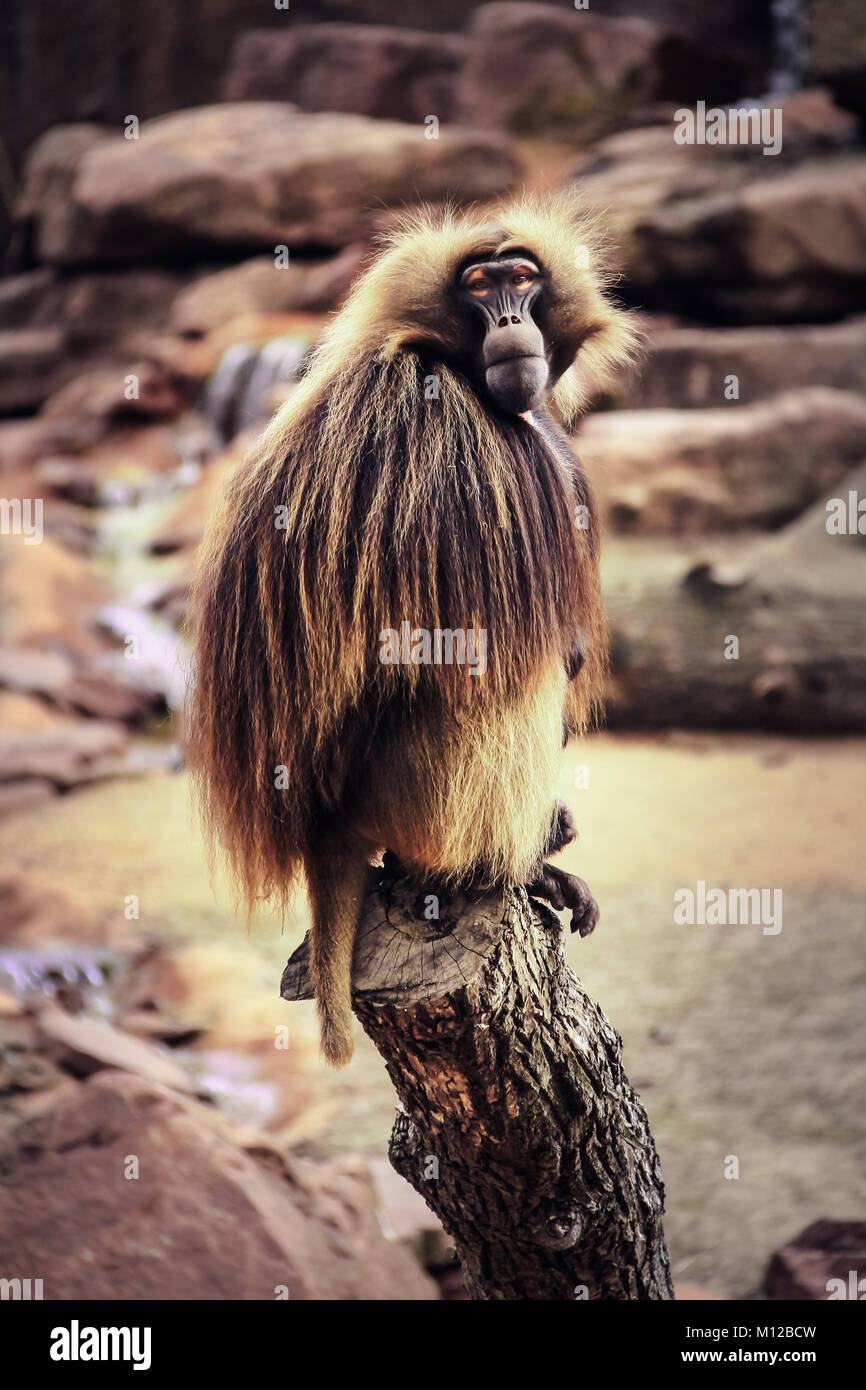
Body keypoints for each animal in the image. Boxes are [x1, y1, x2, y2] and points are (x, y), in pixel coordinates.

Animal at [188, 194, 638, 1067]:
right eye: (479, 285)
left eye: (521, 276)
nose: (508, 319)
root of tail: (318, 830)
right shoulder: (453, 439)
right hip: (399, 792)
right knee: (506, 671)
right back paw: (507, 865)